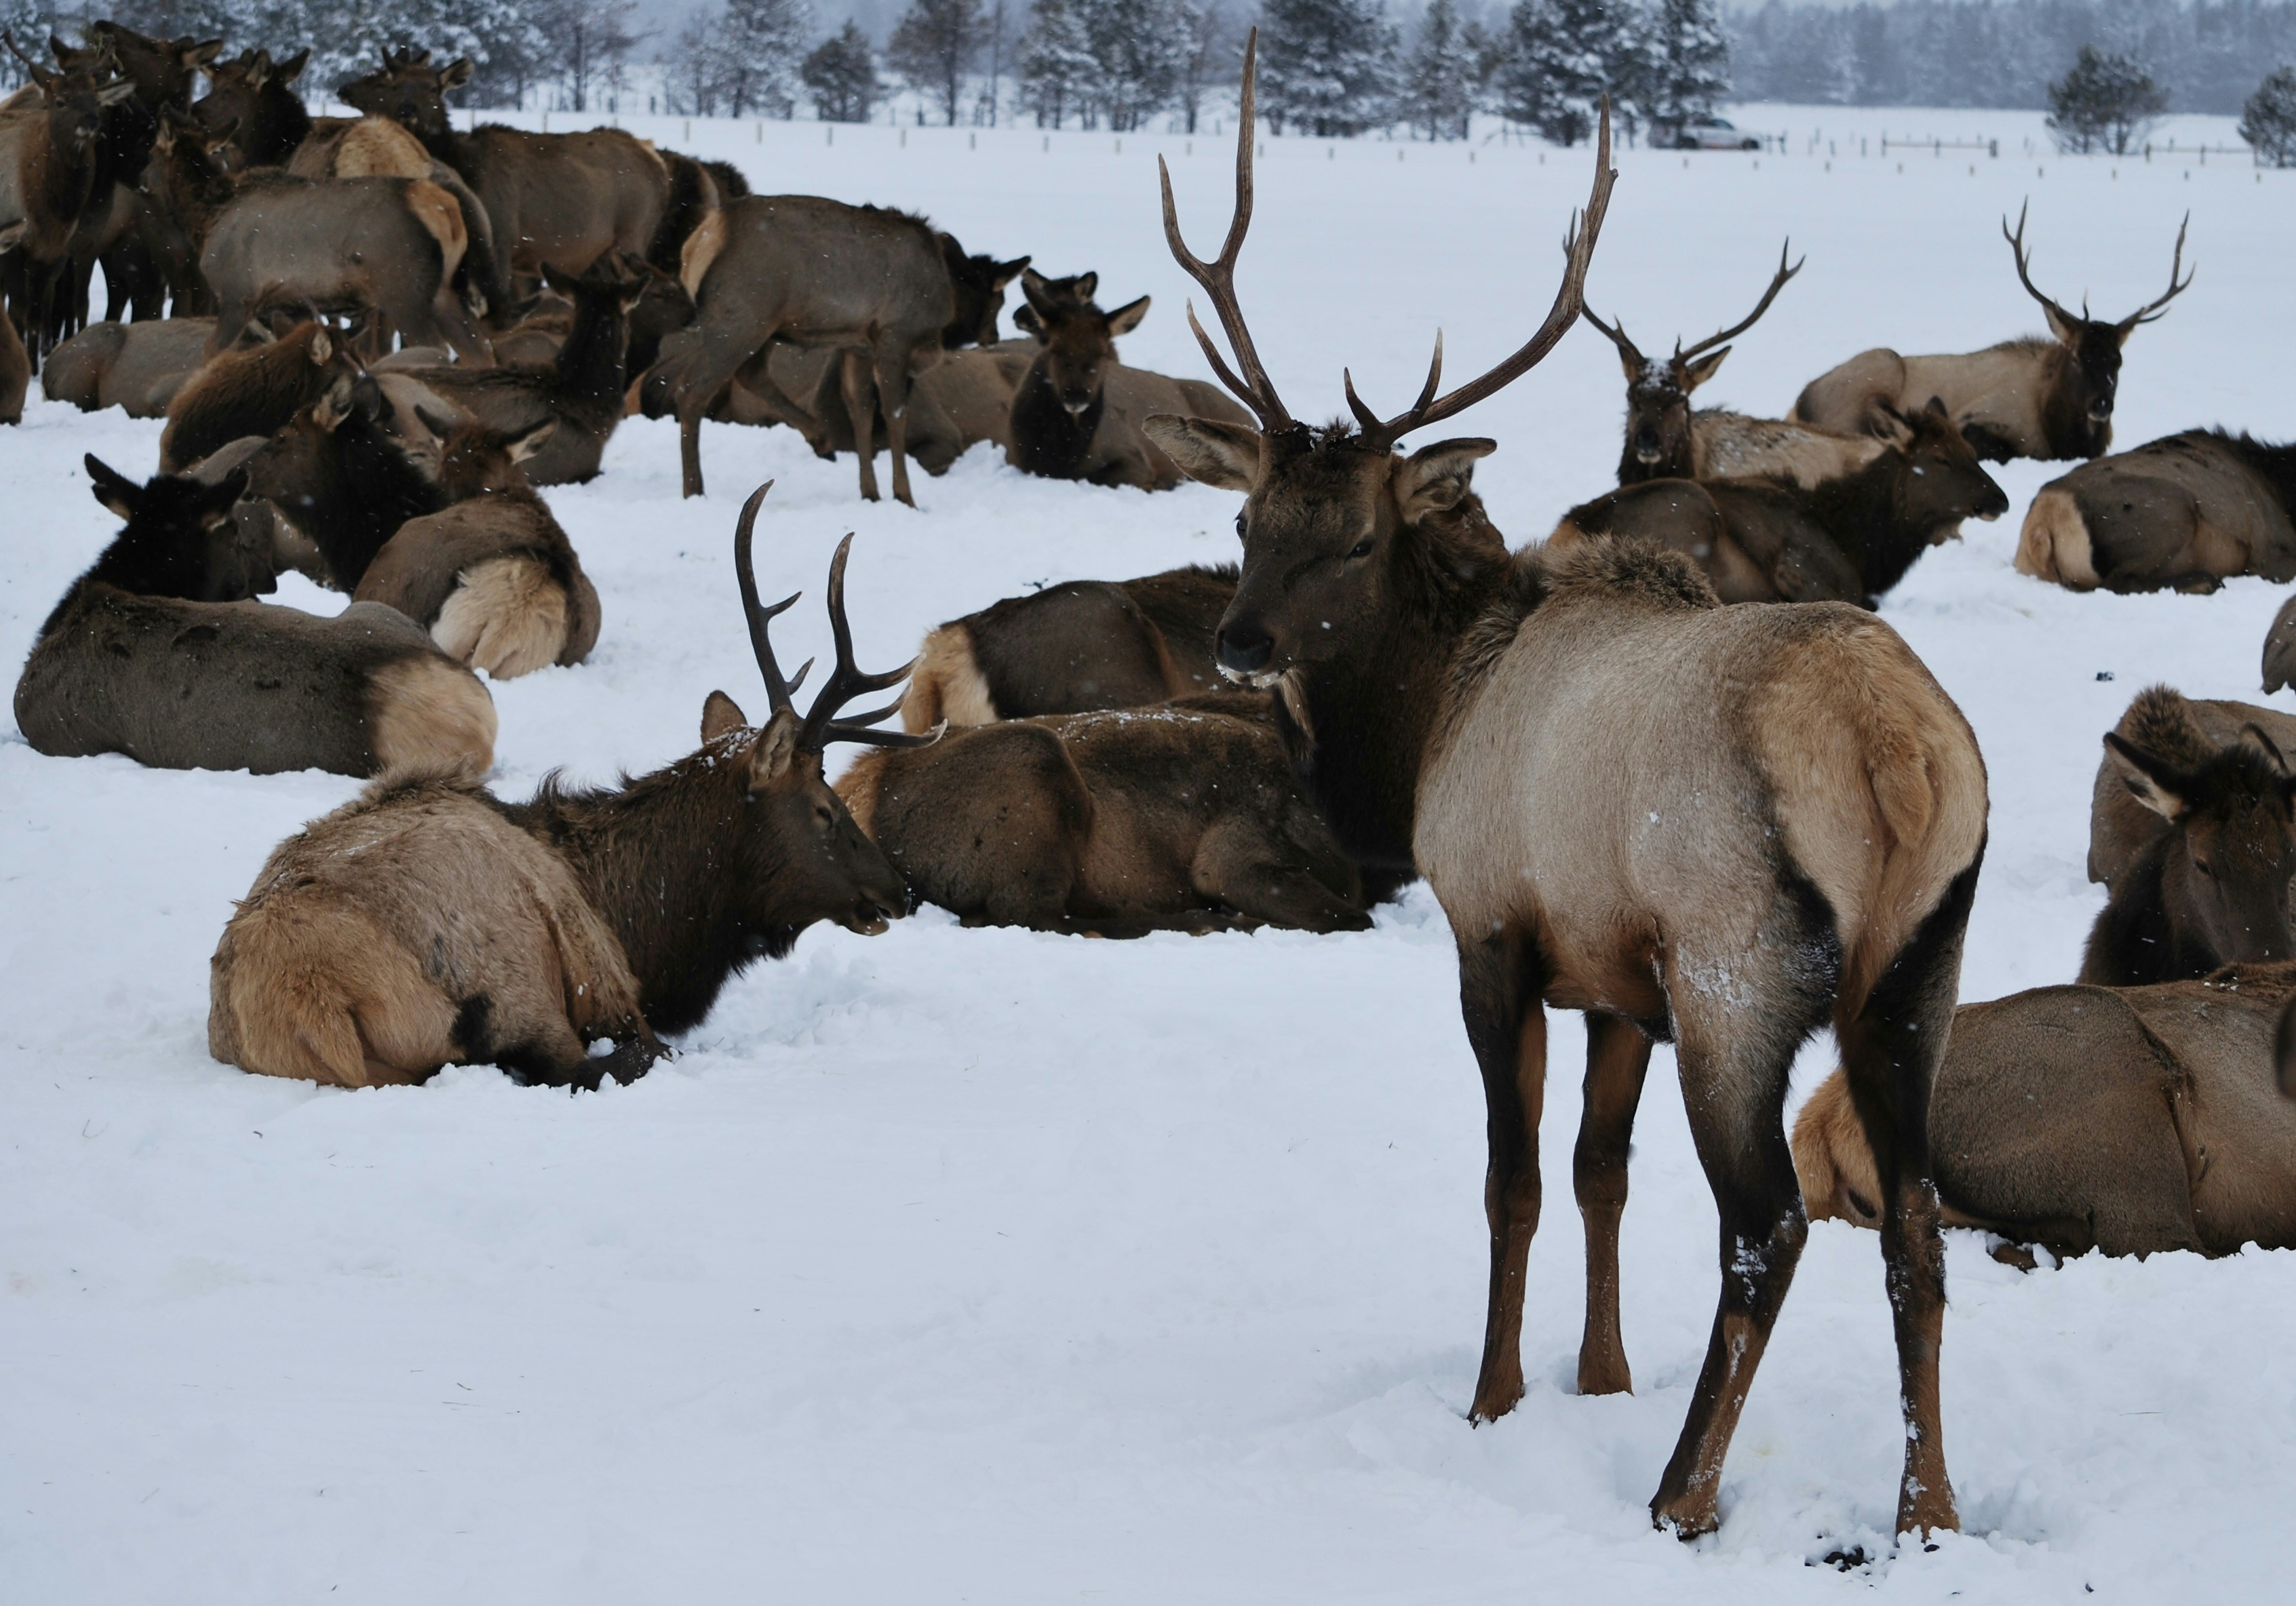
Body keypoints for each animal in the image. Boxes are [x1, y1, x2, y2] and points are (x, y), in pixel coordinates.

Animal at [206, 486, 928, 1091]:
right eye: (824, 808)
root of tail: (310, 1000)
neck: (641, 920)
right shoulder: (604, 982)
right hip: (509, 982)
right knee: (593, 1063)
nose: (899, 890)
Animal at [1549, 397, 2010, 607]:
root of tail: (1566, 532)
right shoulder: (1804, 572)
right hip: (1690, 511)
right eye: (1941, 458)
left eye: (1972, 450)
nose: (2000, 499)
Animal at [1794, 204, 2192, 463]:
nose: (2102, 405)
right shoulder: (1976, 417)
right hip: (1877, 371)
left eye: (2118, 360)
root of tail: (1801, 401)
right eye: (2080, 357)